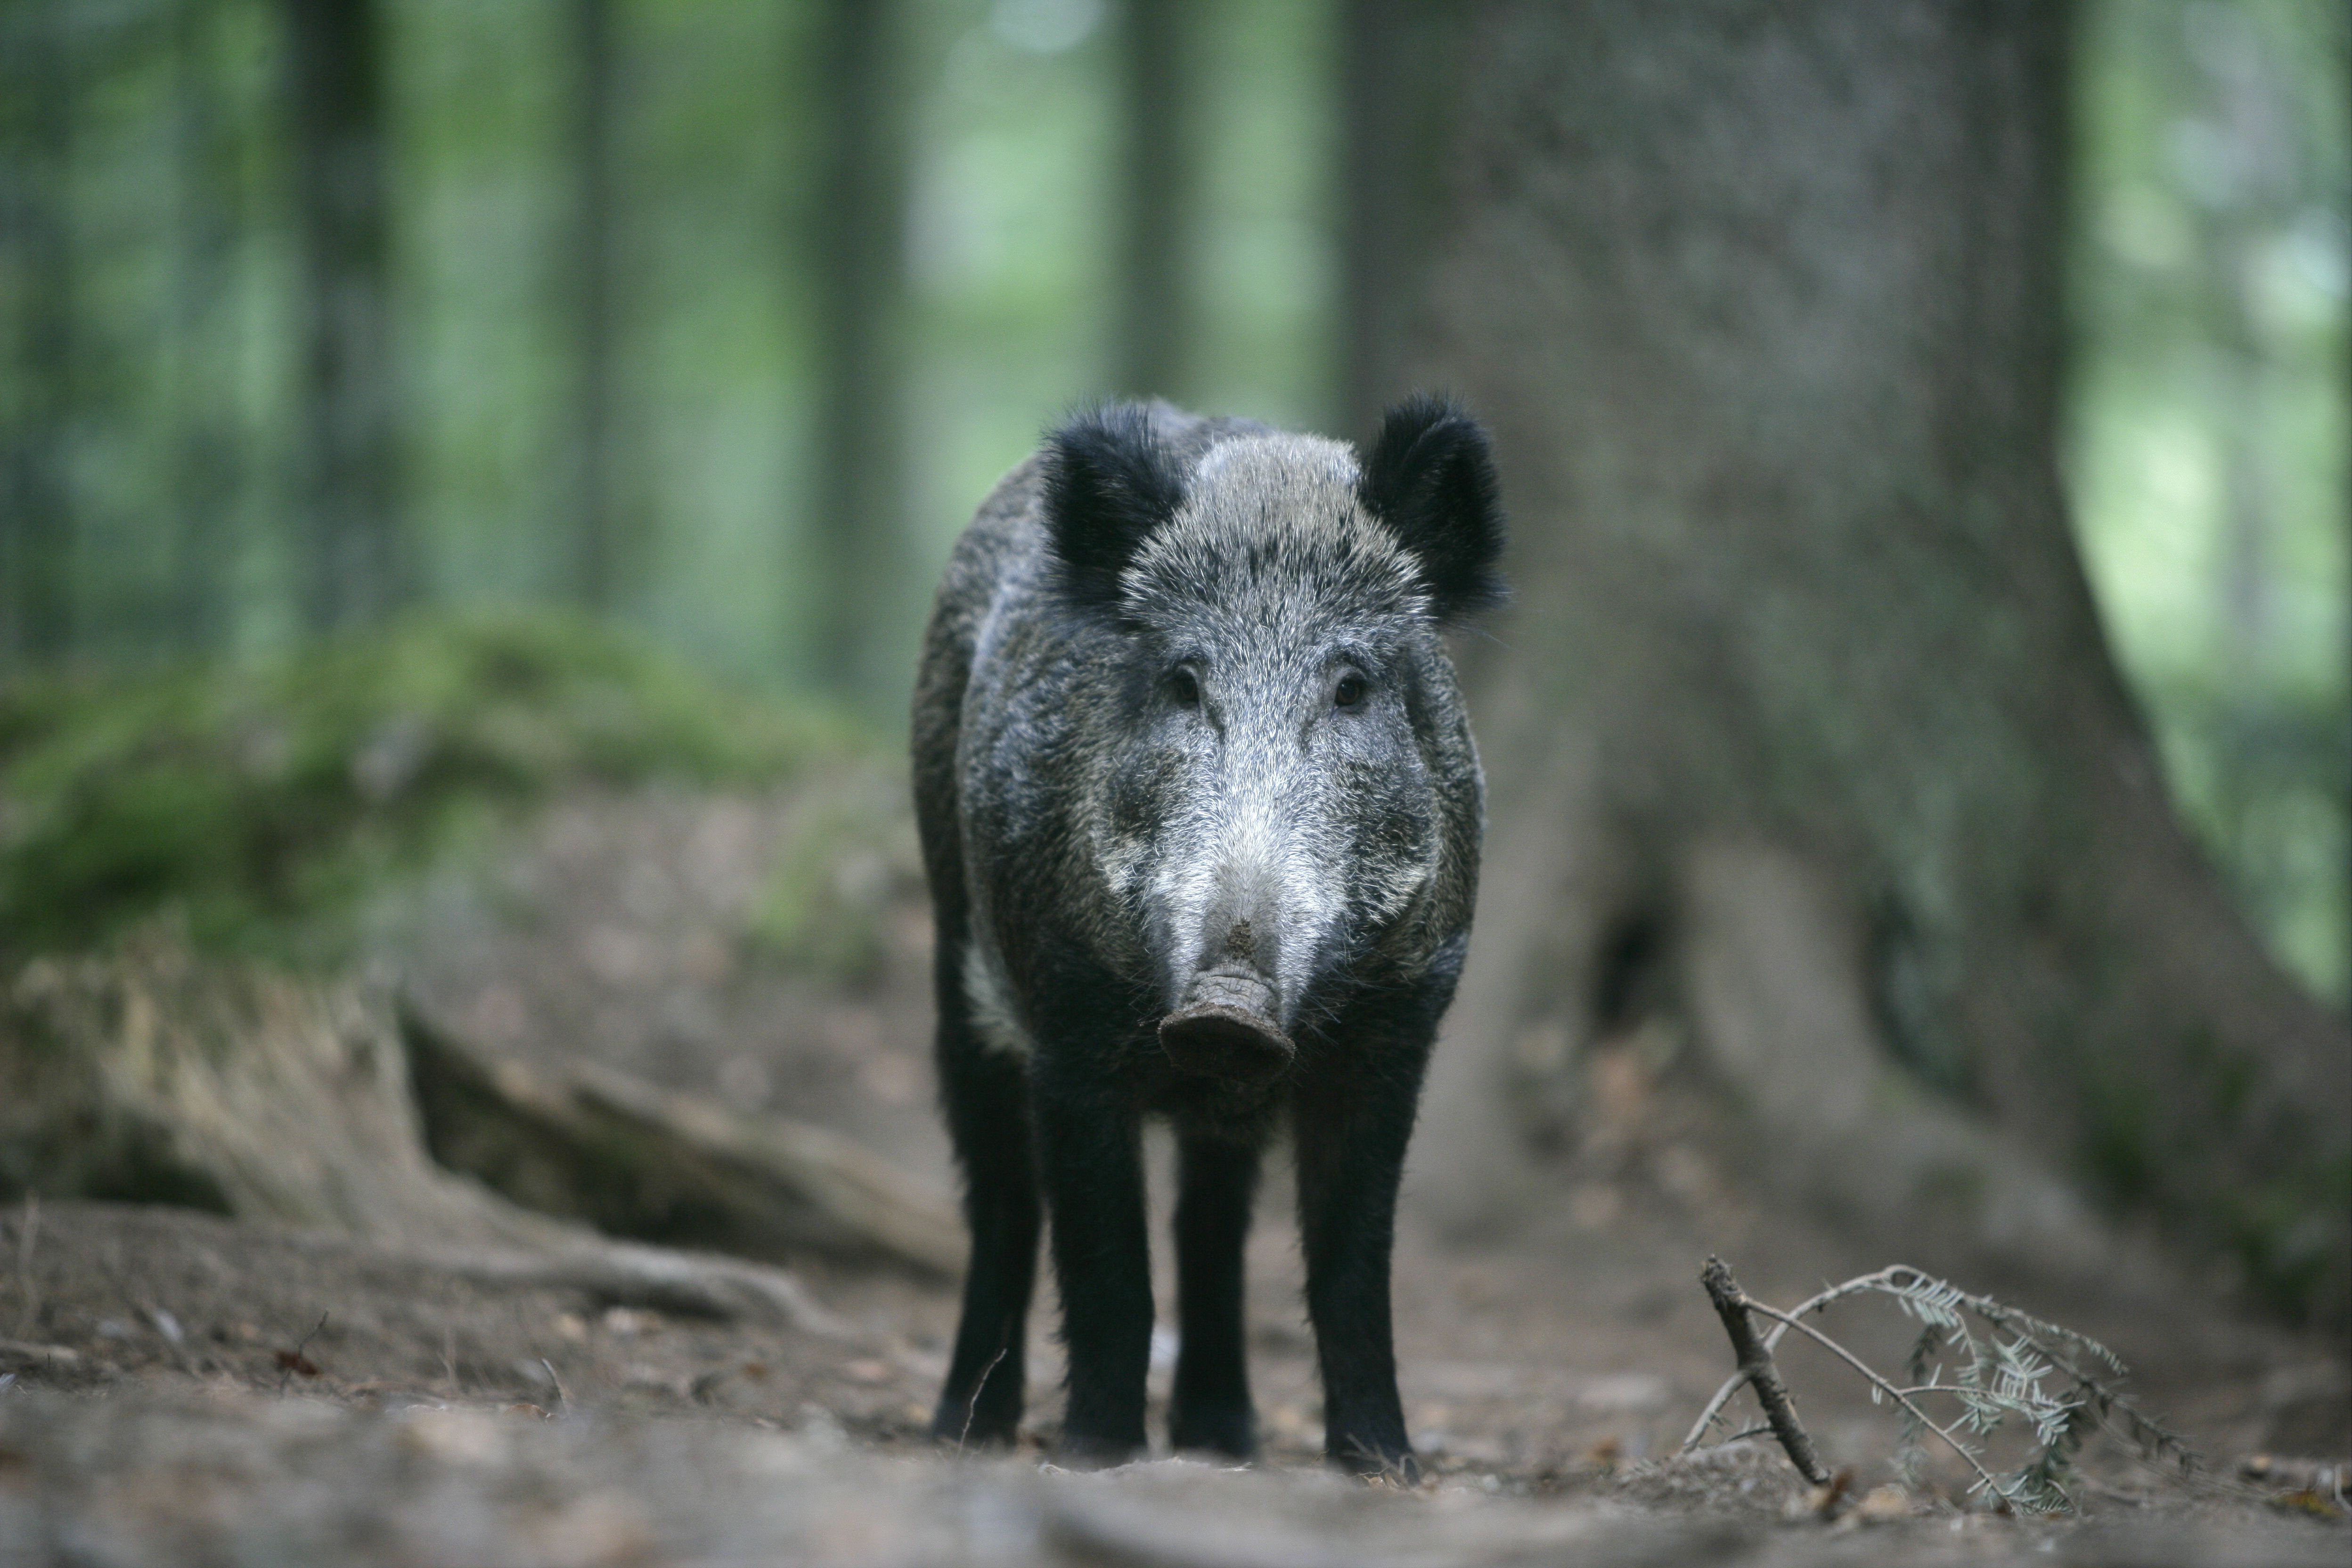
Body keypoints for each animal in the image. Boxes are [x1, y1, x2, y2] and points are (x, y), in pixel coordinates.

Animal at [913, 395, 1502, 1476]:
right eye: (1184, 682)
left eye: (1351, 686)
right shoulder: (1067, 1020)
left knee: (1212, 1217)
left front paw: (1384, 1463)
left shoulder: (1400, 1028)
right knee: (1003, 1201)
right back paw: (965, 1428)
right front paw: (1097, 1453)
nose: (1227, 1006)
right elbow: (1104, 1255)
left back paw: (1223, 1436)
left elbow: (1353, 1263)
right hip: (954, 940)